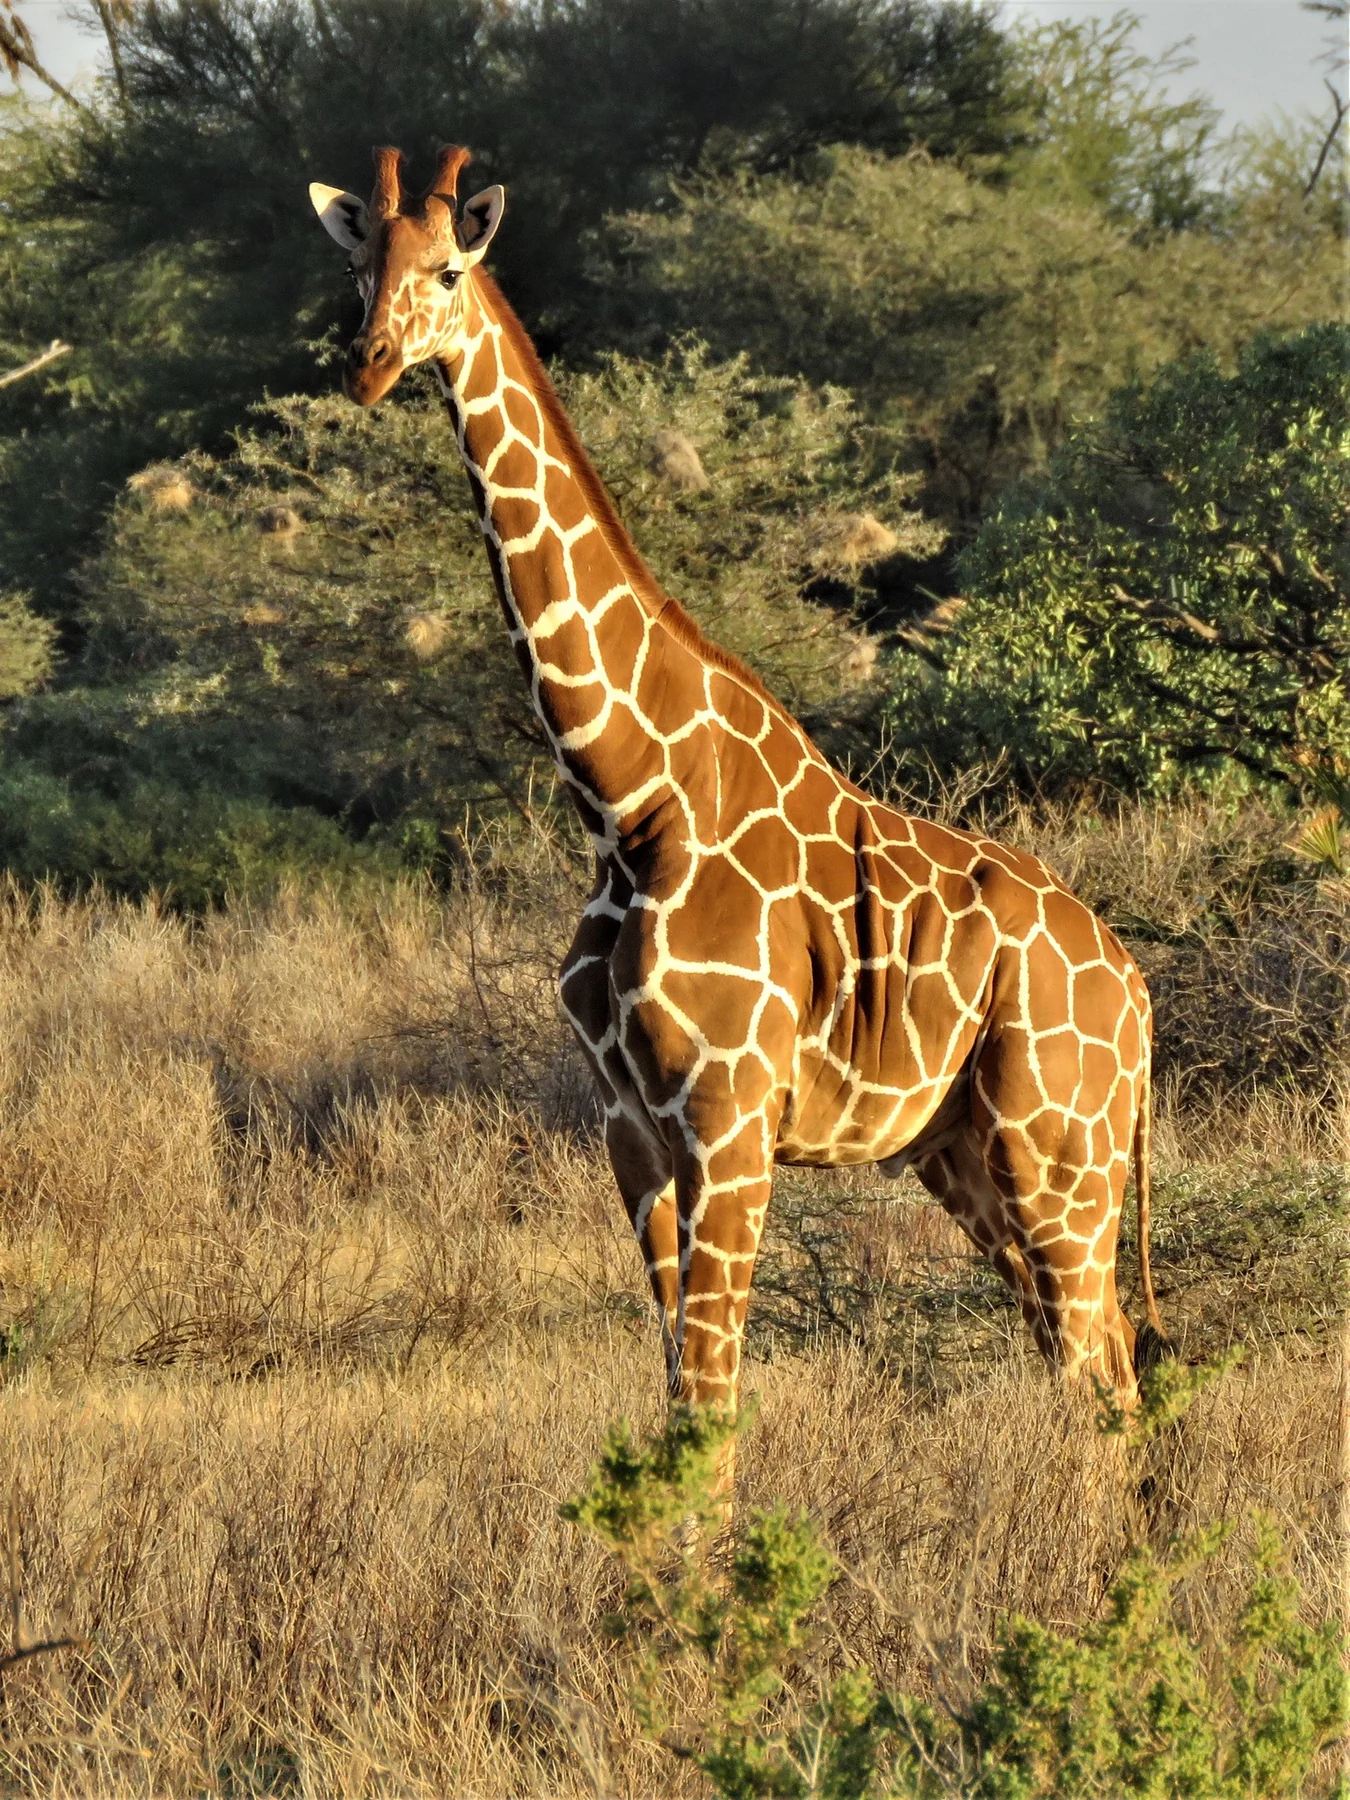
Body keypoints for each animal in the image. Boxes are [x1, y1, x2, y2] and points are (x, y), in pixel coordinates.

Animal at [309, 144, 1166, 1480]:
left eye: (448, 267)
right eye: (359, 267)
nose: (369, 364)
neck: (629, 801)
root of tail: (1138, 997)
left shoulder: (728, 1116)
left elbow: (712, 1411)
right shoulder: (631, 1129)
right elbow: (676, 1411)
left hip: (1055, 1148)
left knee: (1104, 1375)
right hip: (966, 1157)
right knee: (1097, 1364)